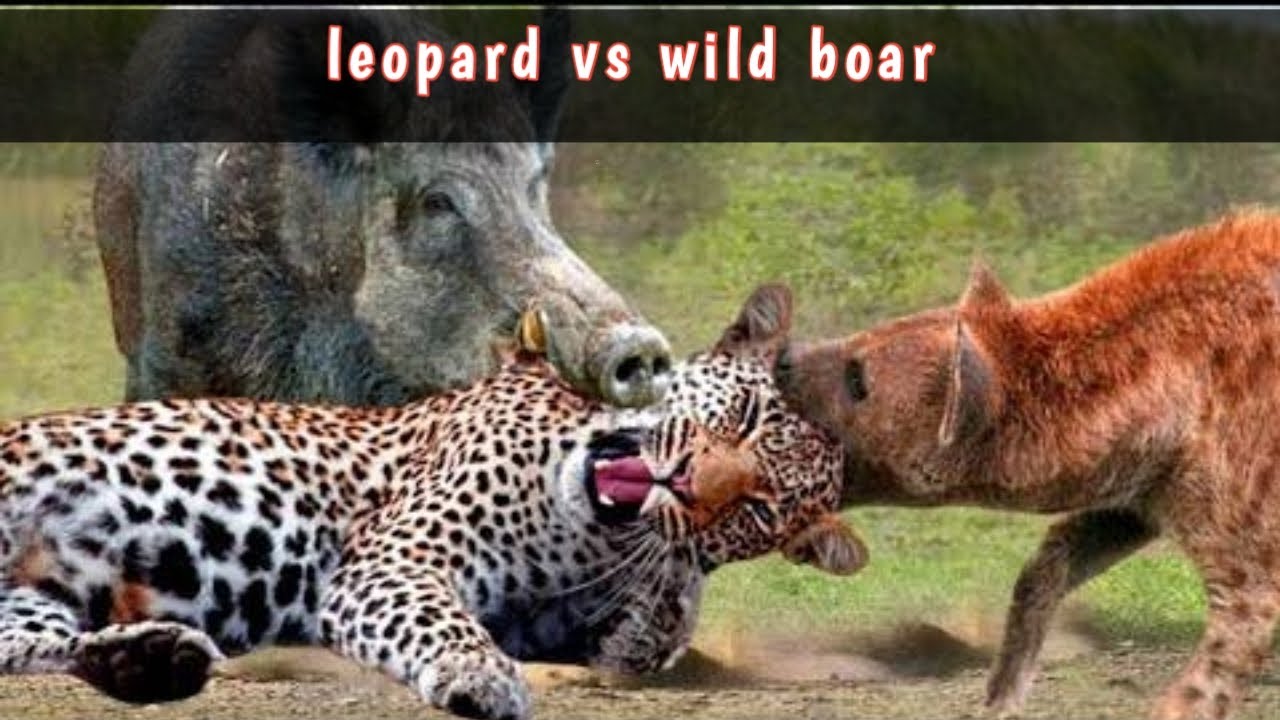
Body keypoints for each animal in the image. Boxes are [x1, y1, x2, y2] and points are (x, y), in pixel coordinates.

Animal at [0, 285, 864, 720]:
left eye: (757, 509)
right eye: (740, 417)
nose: (685, 483)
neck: (587, 541)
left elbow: (652, 626)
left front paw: (658, 611)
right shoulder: (395, 559)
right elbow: (439, 618)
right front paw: (477, 673)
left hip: (34, 600)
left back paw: (146, 660)